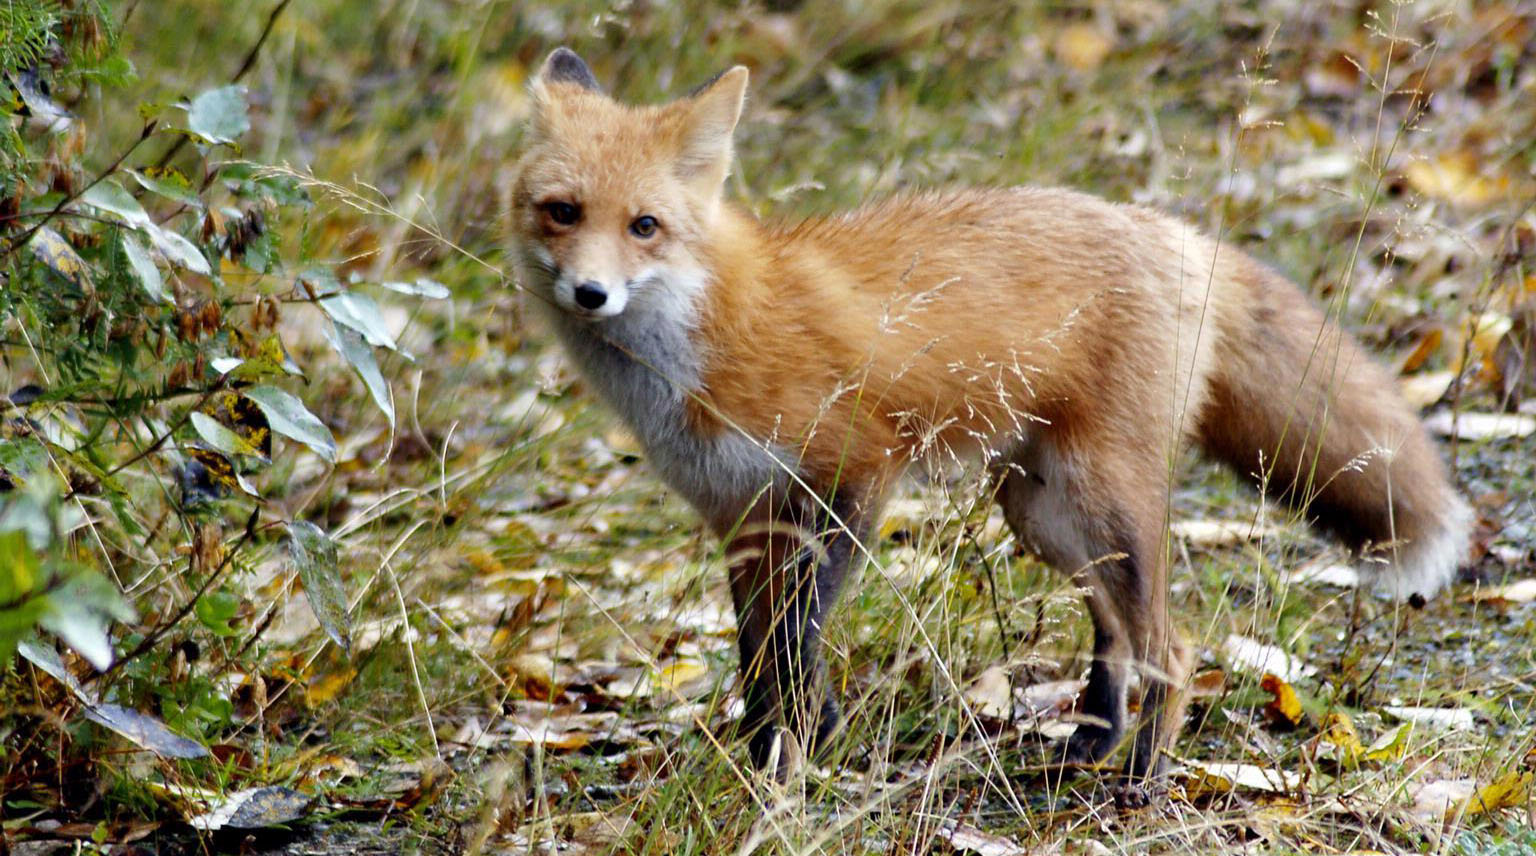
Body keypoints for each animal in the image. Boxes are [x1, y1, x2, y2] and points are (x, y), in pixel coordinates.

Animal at [508, 48, 1472, 786]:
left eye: (644, 226)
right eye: (562, 213)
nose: (590, 294)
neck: (703, 341)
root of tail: (1177, 235)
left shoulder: (854, 475)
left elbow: (794, 646)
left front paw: (793, 758)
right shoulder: (742, 518)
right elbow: (763, 658)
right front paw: (769, 757)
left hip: (1100, 499)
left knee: (1174, 646)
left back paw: (1142, 778)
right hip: (1043, 512)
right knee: (1116, 635)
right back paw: (1091, 743)